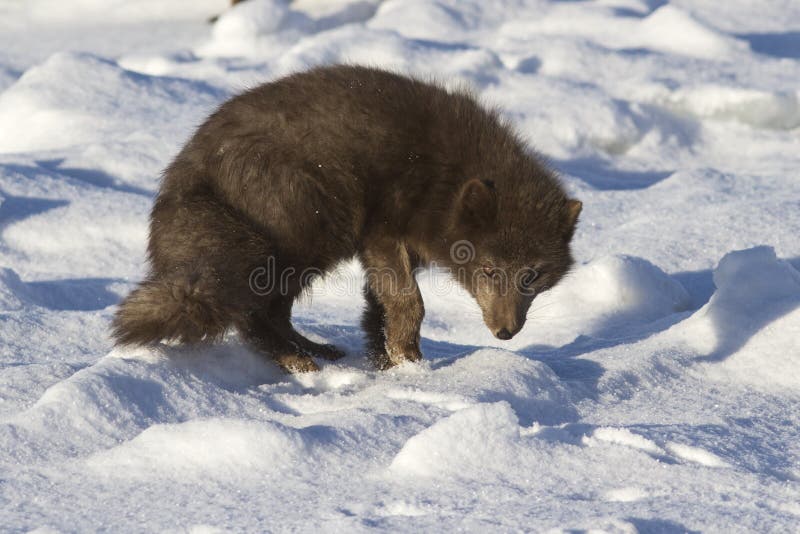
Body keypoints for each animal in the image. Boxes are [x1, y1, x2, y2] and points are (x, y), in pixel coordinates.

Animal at [112, 65, 582, 373]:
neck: (446, 182)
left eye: (532, 276)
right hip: (306, 233)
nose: (506, 333)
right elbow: (411, 303)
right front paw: (412, 365)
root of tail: (188, 170)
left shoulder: (390, 250)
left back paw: (316, 350)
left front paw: (389, 363)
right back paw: (296, 361)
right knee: (252, 315)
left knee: (273, 312)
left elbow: (381, 308)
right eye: (488, 271)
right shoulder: (383, 233)